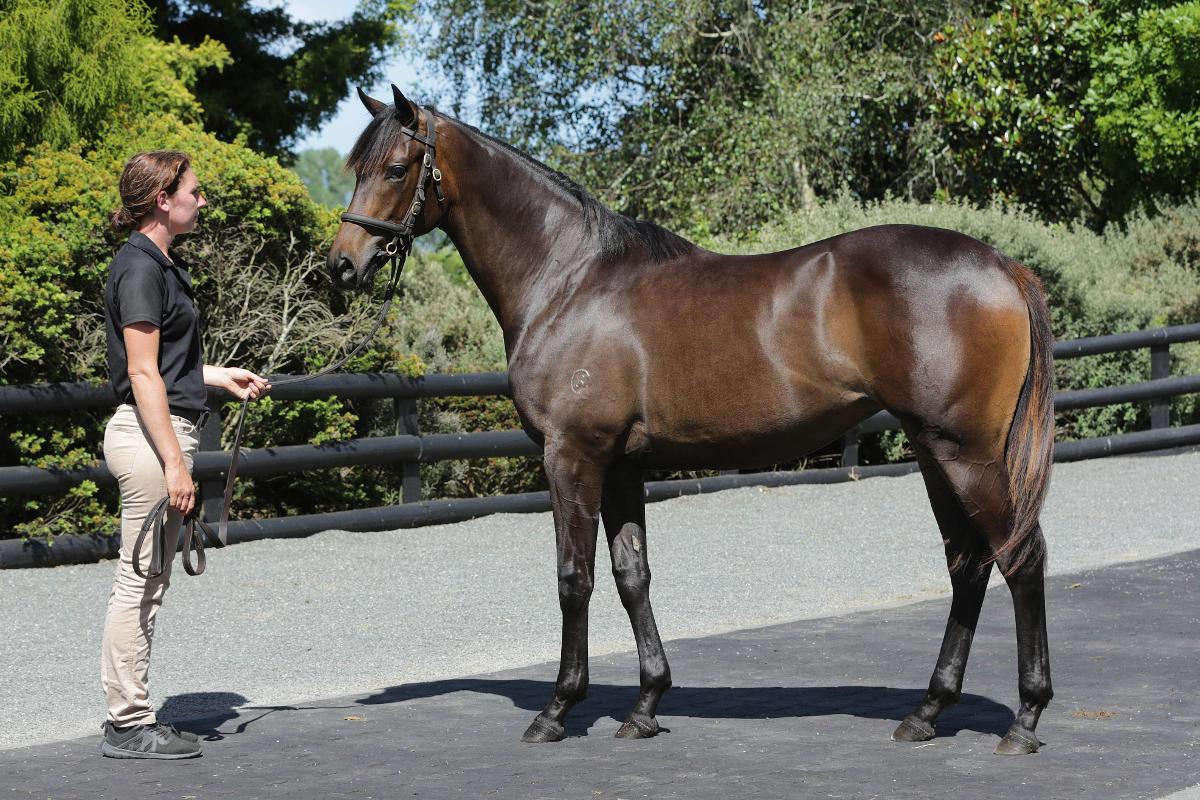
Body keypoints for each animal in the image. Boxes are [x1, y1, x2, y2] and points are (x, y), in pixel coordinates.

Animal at [328, 85, 1056, 756]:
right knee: (968, 565)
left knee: (1020, 559)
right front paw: (646, 705)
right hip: (935, 453)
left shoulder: (573, 456)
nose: (342, 265)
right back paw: (927, 712)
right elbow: (632, 577)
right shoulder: (621, 466)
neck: (568, 280)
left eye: (396, 169)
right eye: (355, 167)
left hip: (965, 453)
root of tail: (1005, 266)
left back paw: (1024, 719)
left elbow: (573, 579)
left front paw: (557, 710)